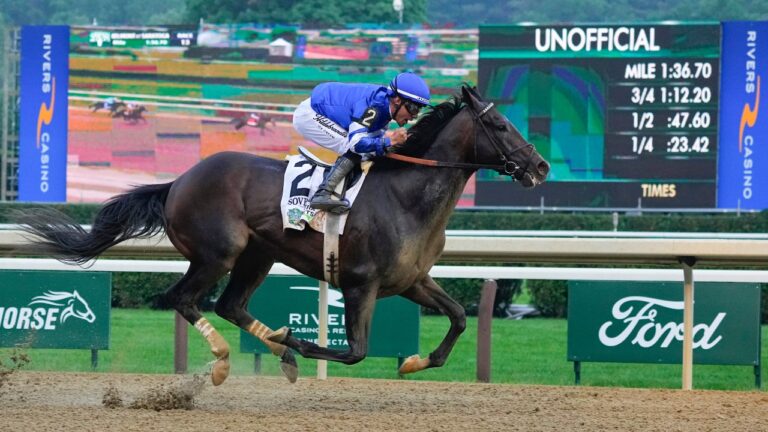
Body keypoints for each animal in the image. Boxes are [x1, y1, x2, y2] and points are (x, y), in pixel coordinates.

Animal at [16, 84, 550, 386]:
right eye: (500, 123)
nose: (541, 166)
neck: (408, 197)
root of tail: (178, 181)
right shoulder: (361, 283)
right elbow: (353, 351)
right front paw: (301, 341)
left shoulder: (413, 280)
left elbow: (458, 316)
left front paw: (415, 362)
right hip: (219, 253)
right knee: (183, 298)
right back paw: (230, 359)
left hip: (258, 255)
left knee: (230, 305)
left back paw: (277, 348)